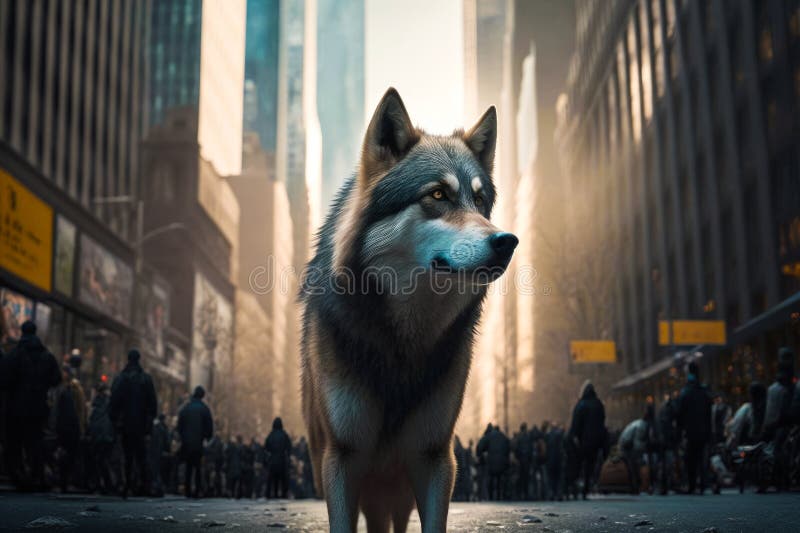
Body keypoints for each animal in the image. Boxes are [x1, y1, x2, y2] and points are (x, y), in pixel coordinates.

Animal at [300, 88, 518, 533]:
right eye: (437, 195)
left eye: (480, 200)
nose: (507, 241)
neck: (404, 341)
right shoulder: (343, 458)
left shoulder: (434, 457)